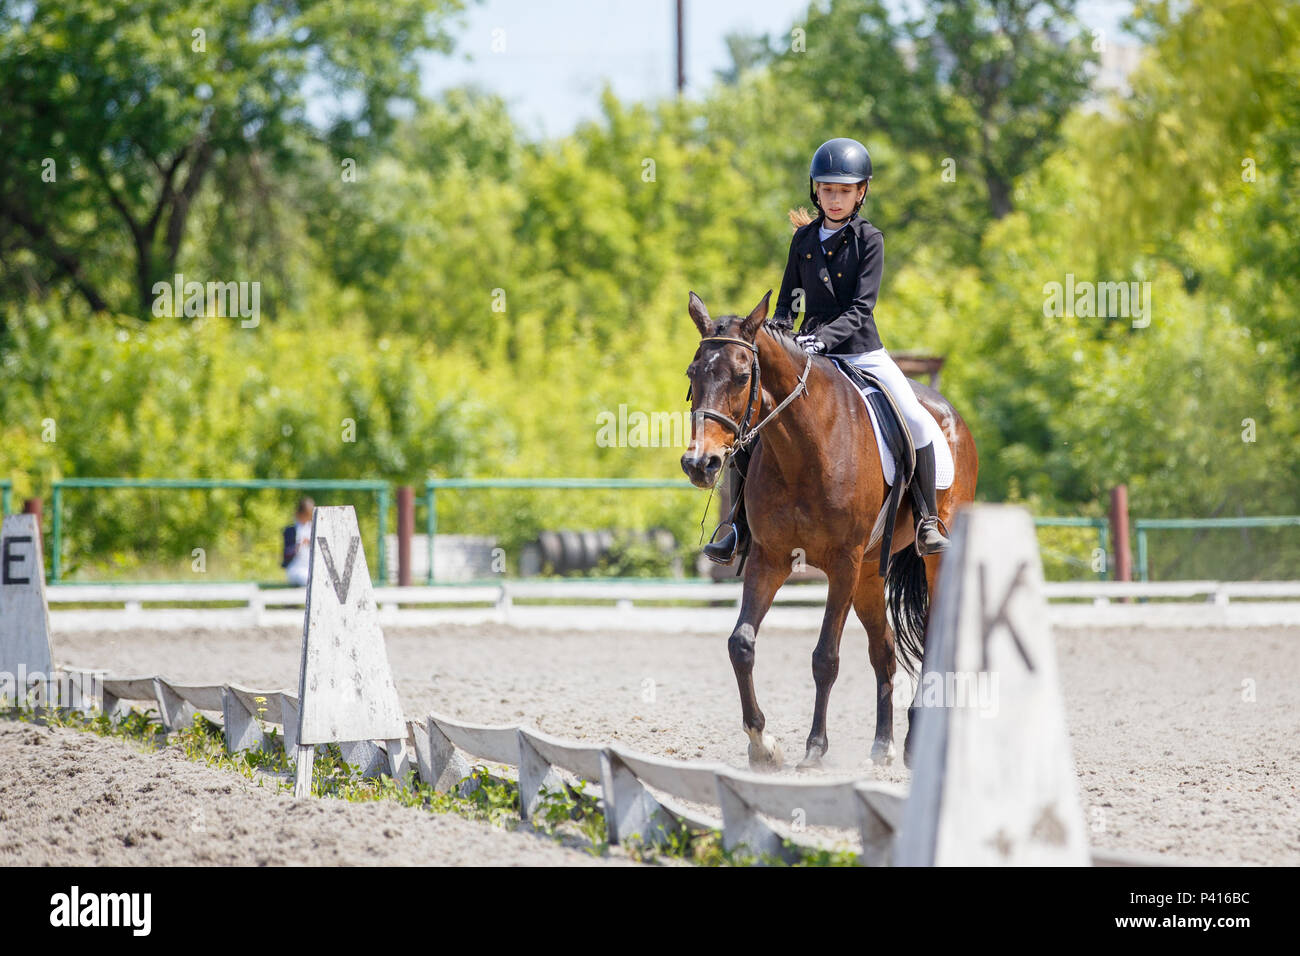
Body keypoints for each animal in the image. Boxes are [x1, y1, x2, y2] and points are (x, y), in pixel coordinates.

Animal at [679, 290, 979, 770]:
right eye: (693, 373)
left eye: (742, 376)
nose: (699, 464)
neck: (802, 444)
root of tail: (952, 416)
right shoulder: (770, 557)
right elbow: (741, 644)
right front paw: (763, 744)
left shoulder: (842, 562)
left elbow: (825, 657)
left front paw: (815, 748)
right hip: (869, 574)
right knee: (884, 649)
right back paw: (882, 745)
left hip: (925, 558)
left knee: (932, 637)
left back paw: (914, 742)